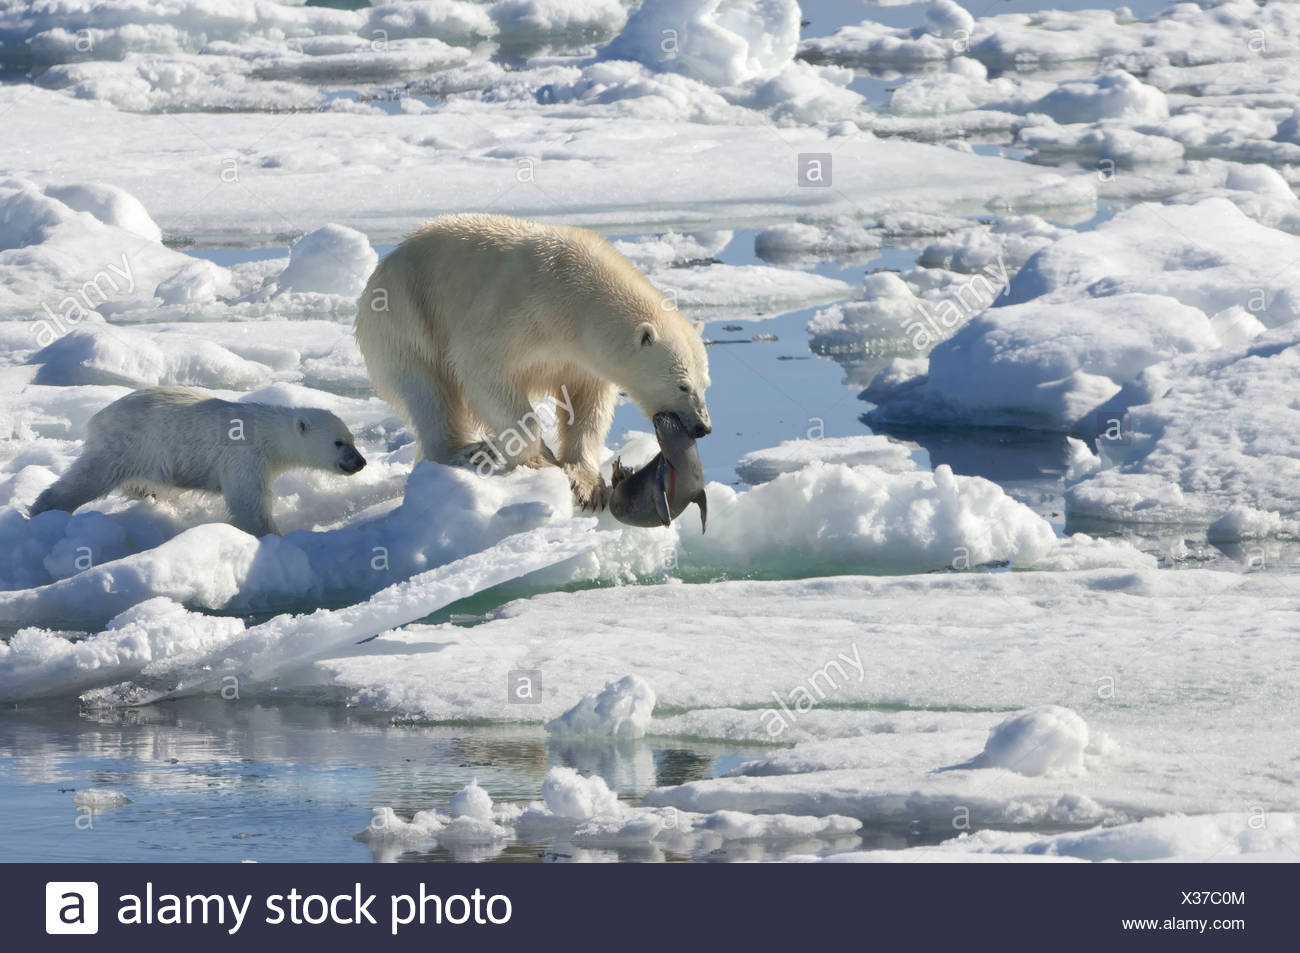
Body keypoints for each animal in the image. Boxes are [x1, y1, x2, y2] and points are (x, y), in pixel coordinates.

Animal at [28, 386, 367, 537]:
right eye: (339, 443)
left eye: (353, 439)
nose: (360, 462)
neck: (268, 432)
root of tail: (97, 418)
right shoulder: (245, 456)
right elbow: (249, 503)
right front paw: (272, 537)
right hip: (128, 443)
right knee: (88, 477)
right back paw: (44, 508)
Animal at [354, 213, 711, 510]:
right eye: (682, 385)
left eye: (706, 383)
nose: (702, 426)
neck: (574, 300)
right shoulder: (517, 313)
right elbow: (481, 367)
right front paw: (542, 460)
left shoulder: (581, 358)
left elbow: (588, 403)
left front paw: (588, 484)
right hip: (405, 318)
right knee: (428, 392)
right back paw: (466, 452)